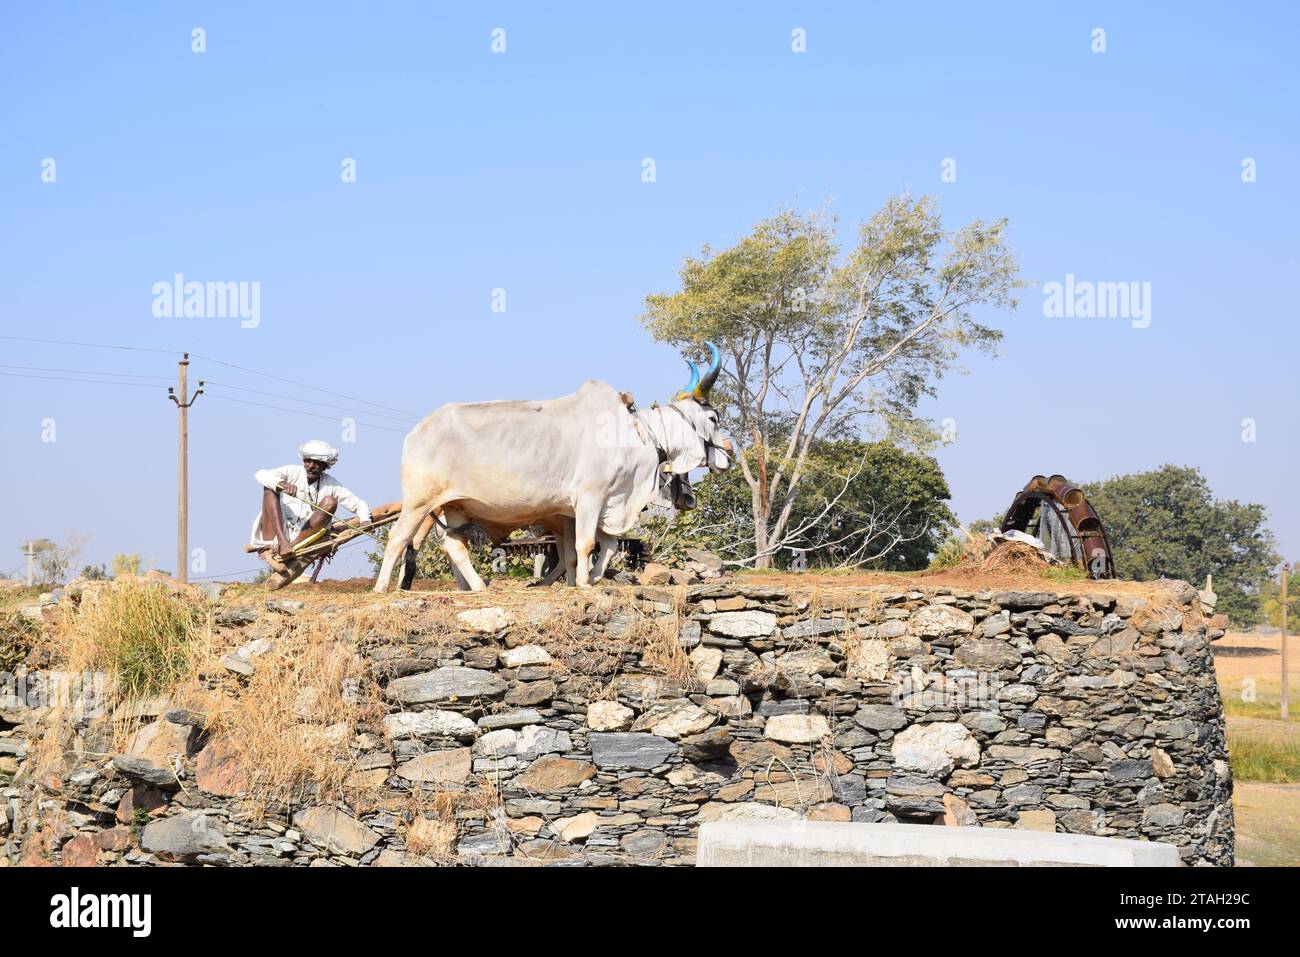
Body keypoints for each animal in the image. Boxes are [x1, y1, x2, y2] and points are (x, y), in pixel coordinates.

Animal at [374, 344, 733, 592]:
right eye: (713, 417)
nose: (729, 452)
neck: (633, 433)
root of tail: (416, 432)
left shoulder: (590, 507)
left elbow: (596, 548)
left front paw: (588, 579)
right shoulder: (590, 499)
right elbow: (586, 545)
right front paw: (586, 583)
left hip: (455, 507)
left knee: (453, 546)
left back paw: (477, 588)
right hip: (419, 502)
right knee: (397, 537)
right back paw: (382, 588)